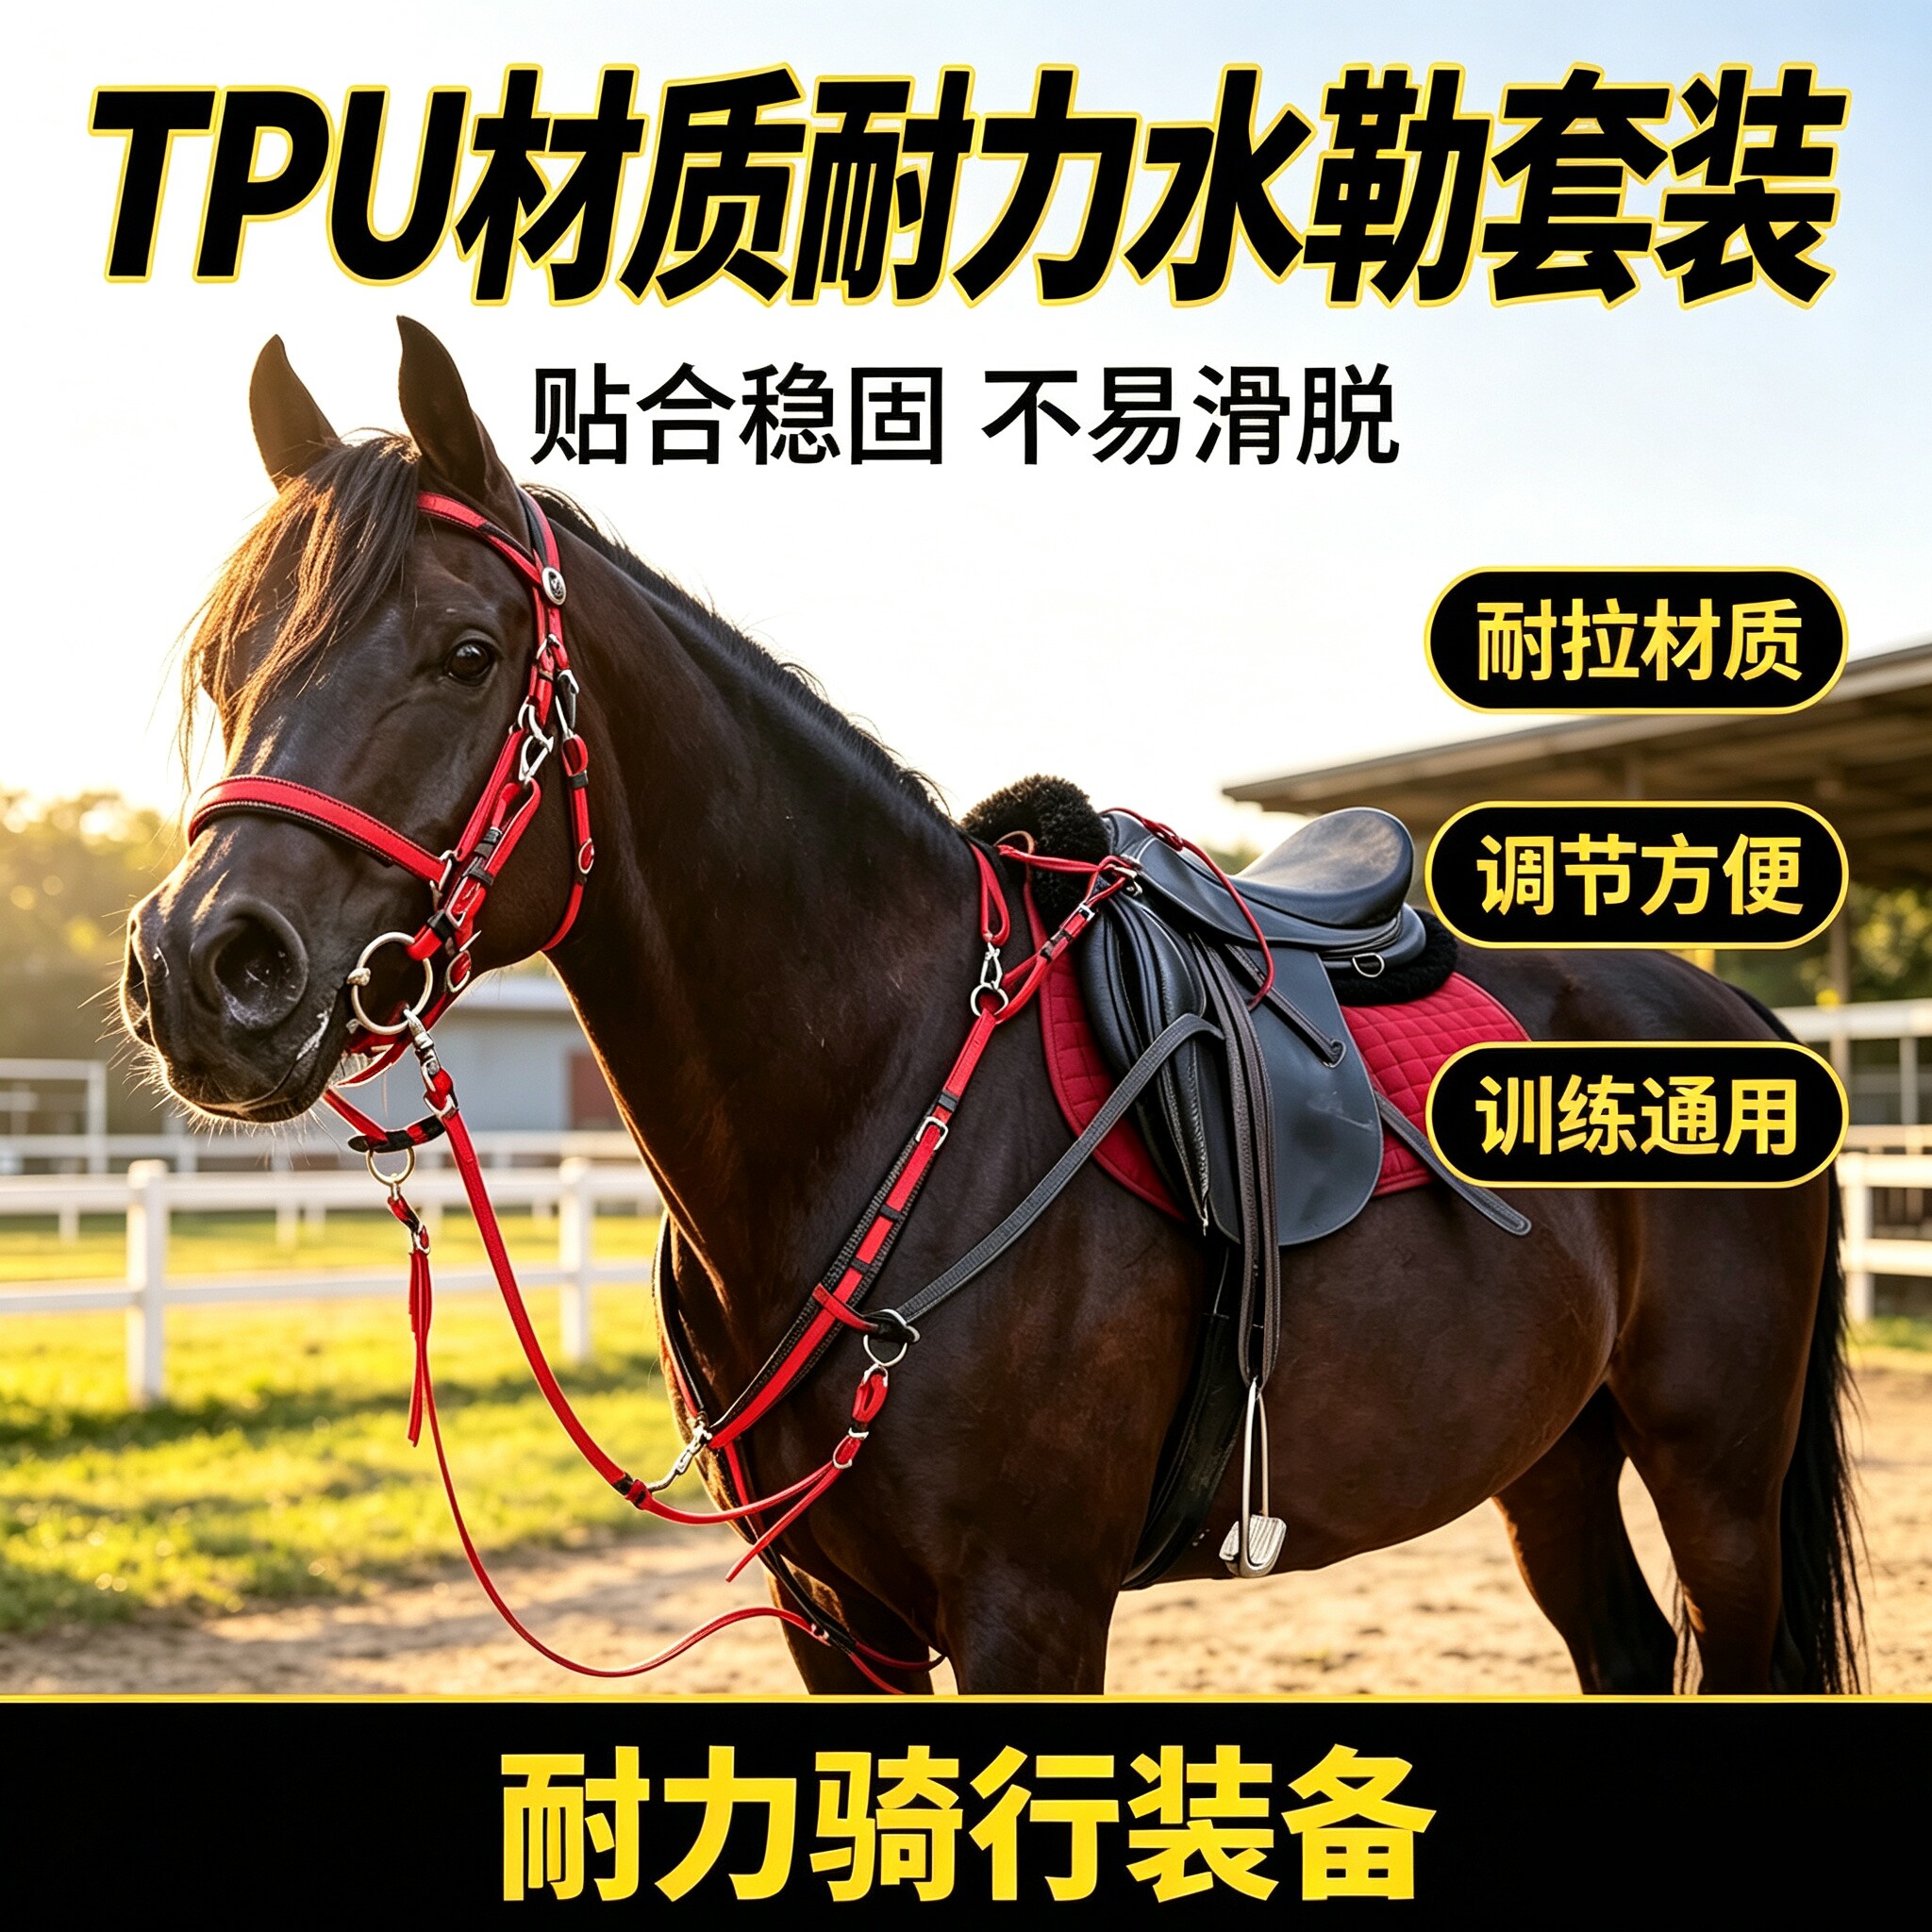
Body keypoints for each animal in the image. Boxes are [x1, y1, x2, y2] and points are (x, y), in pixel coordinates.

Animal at [120, 320, 1861, 1695]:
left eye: (469, 654)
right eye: (222, 667)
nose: (204, 965)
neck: (881, 1098)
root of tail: (1730, 1011)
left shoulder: (1032, 1609)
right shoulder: (836, 1619)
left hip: (1716, 1472)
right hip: (1552, 1456)